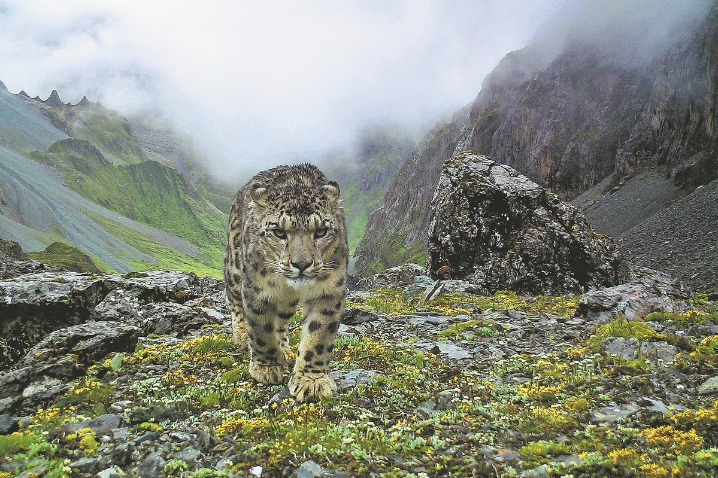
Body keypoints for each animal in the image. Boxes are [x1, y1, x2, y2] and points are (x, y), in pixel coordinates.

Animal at [224, 163, 348, 402]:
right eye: (279, 232)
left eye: (321, 231)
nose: (302, 263)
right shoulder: (258, 290)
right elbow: (261, 330)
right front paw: (267, 368)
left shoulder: (328, 291)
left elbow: (318, 335)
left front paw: (312, 380)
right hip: (235, 269)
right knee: (233, 300)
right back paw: (242, 335)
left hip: (288, 302)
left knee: (280, 319)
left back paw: (284, 345)